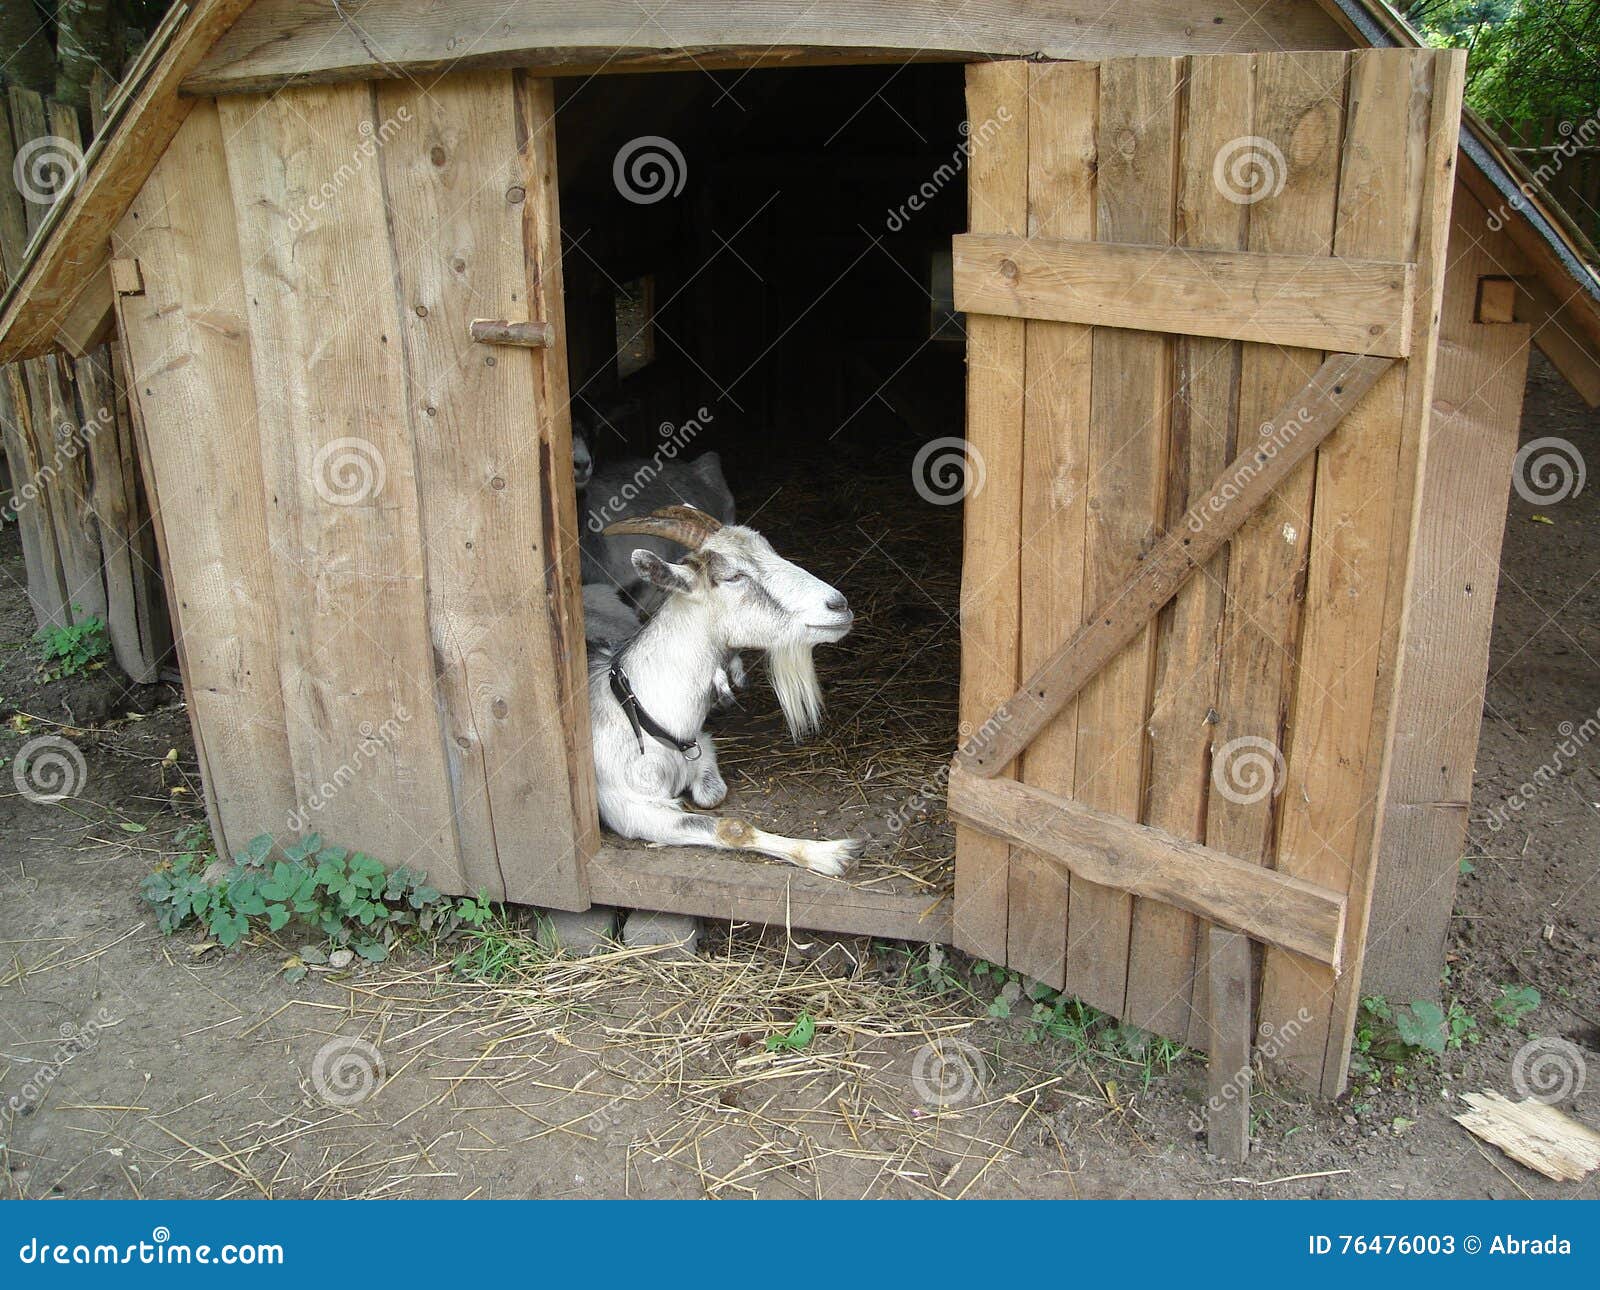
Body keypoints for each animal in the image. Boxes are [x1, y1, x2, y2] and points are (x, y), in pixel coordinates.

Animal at [588, 505, 860, 876]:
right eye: (733, 576)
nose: (838, 605)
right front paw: (828, 854)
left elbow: (712, 794)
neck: (645, 716)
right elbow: (732, 827)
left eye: (772, 553)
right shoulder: (629, 807)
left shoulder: (702, 745)